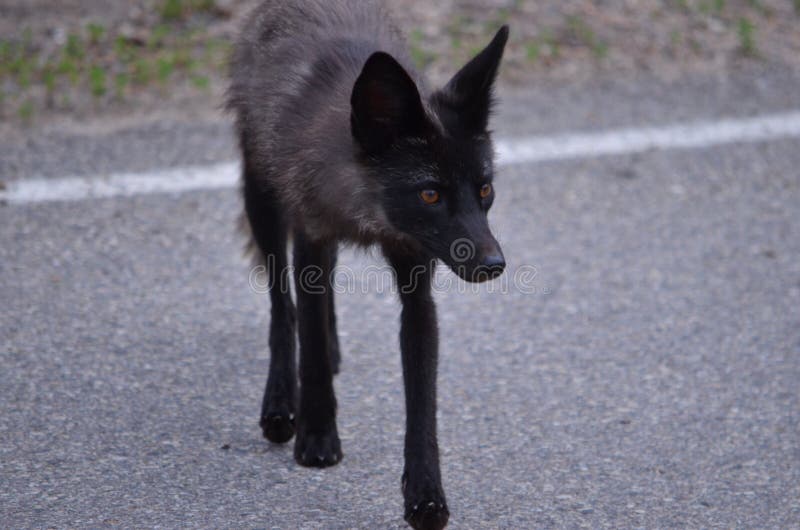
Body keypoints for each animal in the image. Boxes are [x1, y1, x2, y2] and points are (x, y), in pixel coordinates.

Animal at [227, 1, 508, 528]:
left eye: (484, 189)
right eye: (430, 194)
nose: (493, 264)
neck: (367, 216)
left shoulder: (416, 280)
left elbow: (422, 402)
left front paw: (425, 496)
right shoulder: (311, 241)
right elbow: (311, 349)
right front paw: (317, 438)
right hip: (263, 203)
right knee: (281, 307)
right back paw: (281, 401)